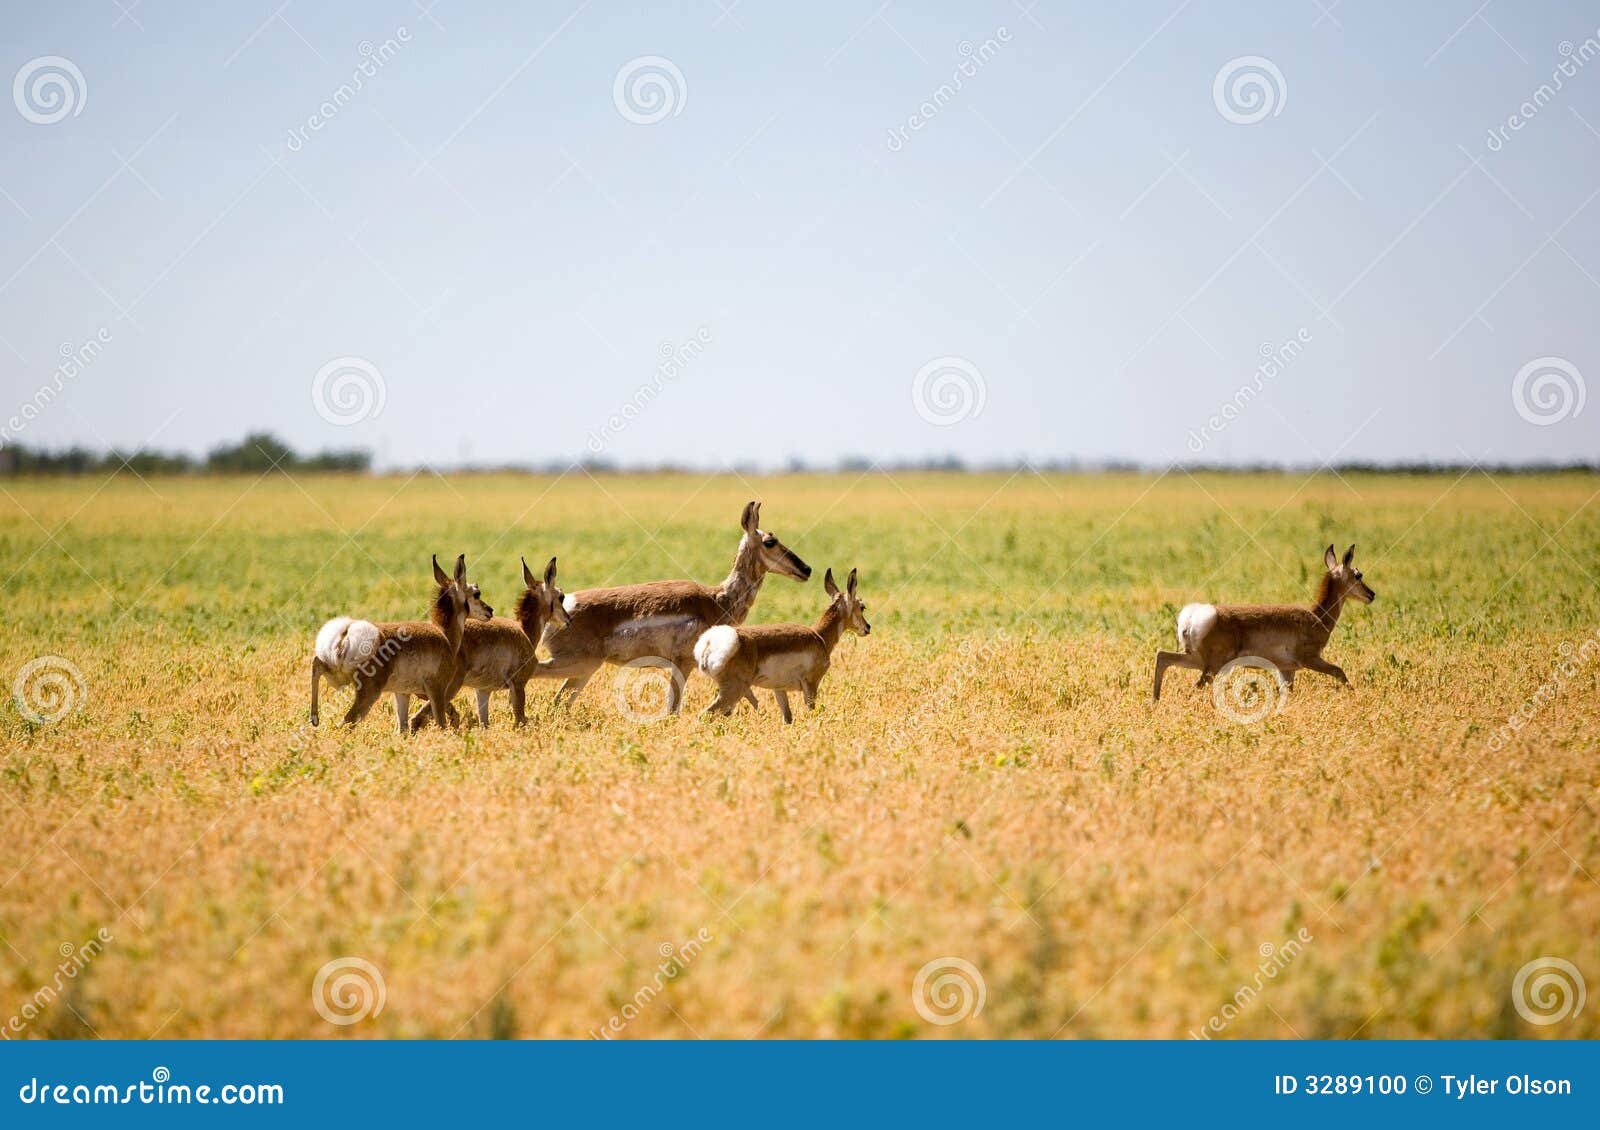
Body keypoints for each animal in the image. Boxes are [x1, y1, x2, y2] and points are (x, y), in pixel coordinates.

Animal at [309, 554, 492, 732]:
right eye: (477, 593)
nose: (490, 610)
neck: (444, 635)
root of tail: (347, 629)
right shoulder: (437, 691)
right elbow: (441, 723)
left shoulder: (402, 694)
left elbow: (402, 728)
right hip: (368, 693)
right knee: (345, 723)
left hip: (335, 674)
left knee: (316, 665)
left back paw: (314, 718)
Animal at [410, 557, 571, 730]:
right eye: (561, 596)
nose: (568, 619)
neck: (524, 632)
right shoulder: (518, 685)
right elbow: (520, 720)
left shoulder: (483, 692)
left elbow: (485, 724)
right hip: (450, 687)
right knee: (418, 718)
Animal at [532, 501, 812, 713]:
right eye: (770, 541)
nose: (806, 569)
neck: (717, 598)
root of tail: (564, 604)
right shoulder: (682, 665)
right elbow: (672, 709)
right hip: (578, 664)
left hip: (584, 671)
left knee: (559, 702)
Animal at [695, 567, 870, 723]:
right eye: (862, 606)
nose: (867, 628)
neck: (819, 636)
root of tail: (710, 641)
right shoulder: (811, 685)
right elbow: (811, 712)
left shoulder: (779, 690)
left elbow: (787, 718)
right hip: (733, 691)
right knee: (703, 716)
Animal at [1152, 544, 1376, 701]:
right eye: (1358, 574)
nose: (1372, 594)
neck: (1318, 616)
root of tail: (1193, 617)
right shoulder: (1310, 659)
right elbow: (1339, 671)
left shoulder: (1287, 670)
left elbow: (1288, 694)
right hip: (1214, 666)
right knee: (1193, 688)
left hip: (1198, 660)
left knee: (1163, 657)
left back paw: (1155, 702)